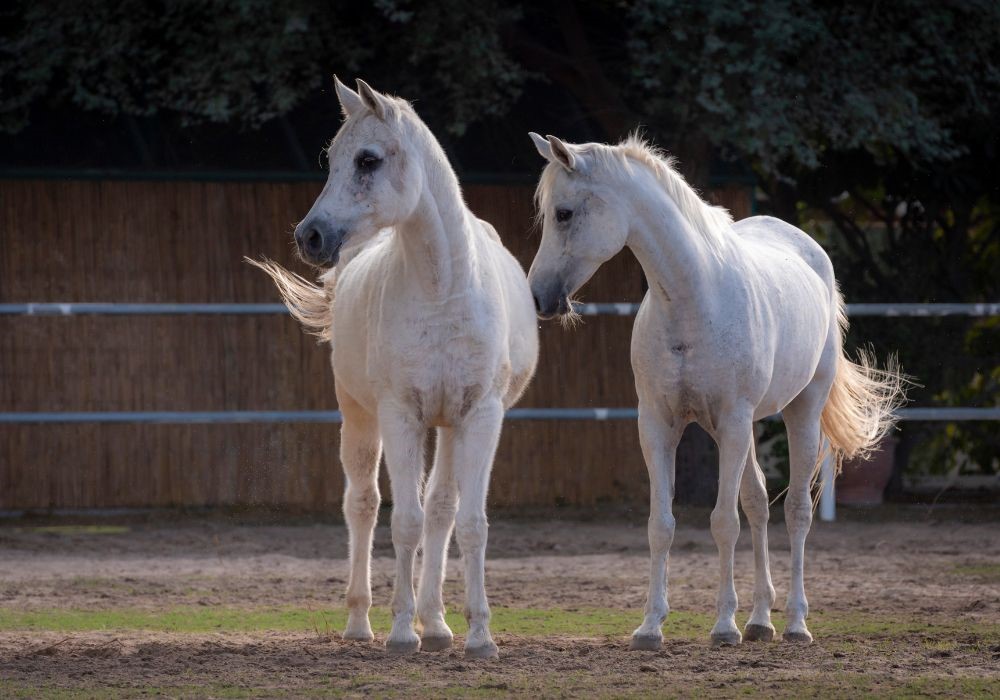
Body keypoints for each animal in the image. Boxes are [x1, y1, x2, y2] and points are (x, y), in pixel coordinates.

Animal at [251, 78, 538, 658]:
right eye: (333, 159)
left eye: (368, 159)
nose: (310, 236)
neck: (443, 289)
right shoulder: (400, 414)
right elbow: (403, 521)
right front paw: (402, 632)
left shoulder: (480, 416)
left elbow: (468, 523)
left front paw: (478, 636)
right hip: (360, 417)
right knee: (363, 505)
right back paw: (362, 621)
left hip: (446, 427)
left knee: (442, 510)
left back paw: (439, 624)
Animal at [526, 132, 905, 649]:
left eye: (564, 213)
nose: (538, 297)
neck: (692, 300)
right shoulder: (658, 425)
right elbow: (662, 525)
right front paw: (650, 626)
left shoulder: (731, 422)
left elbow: (724, 523)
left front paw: (724, 626)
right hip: (745, 431)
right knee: (760, 504)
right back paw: (761, 619)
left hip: (797, 414)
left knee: (796, 512)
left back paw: (795, 623)